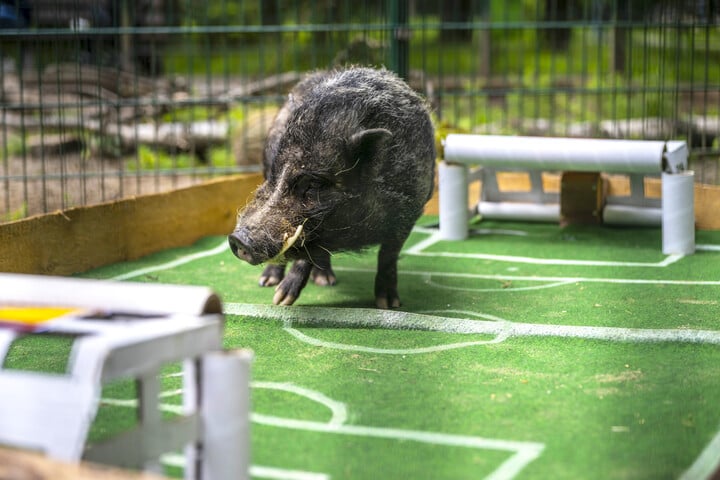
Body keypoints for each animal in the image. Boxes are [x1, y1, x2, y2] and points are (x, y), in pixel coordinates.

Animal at [228, 67, 435, 308]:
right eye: (274, 174)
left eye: (315, 183)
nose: (237, 239)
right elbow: (305, 254)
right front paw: (281, 300)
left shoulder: (409, 211)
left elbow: (388, 255)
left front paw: (389, 304)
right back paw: (270, 282)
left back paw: (326, 282)